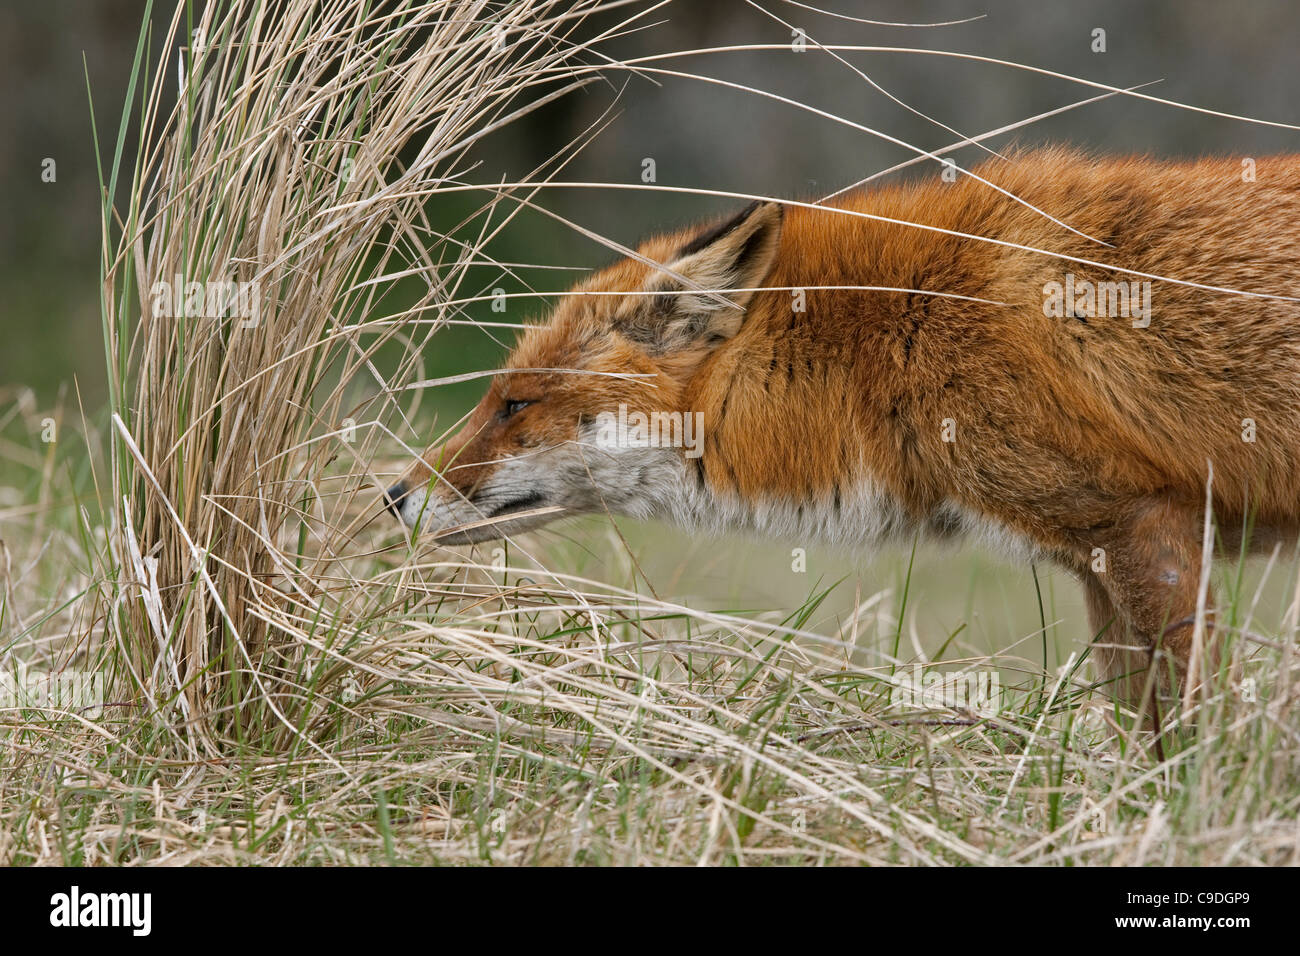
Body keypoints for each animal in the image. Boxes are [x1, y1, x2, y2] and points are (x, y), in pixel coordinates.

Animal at [386, 147, 1300, 714]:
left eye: (513, 404)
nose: (392, 493)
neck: (903, 333)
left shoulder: (1144, 525)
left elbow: (1195, 734)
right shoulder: (1100, 561)